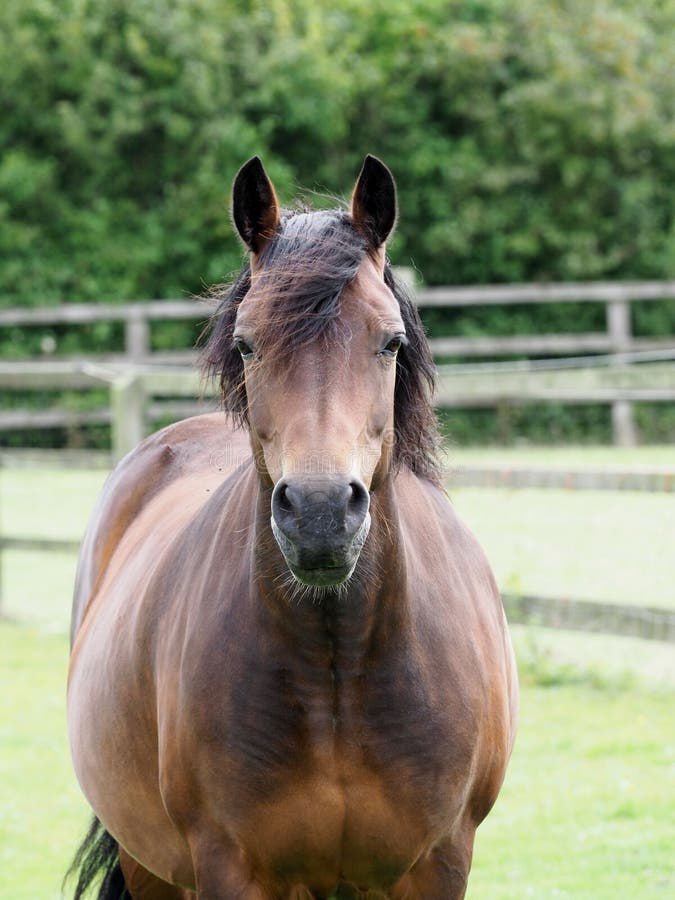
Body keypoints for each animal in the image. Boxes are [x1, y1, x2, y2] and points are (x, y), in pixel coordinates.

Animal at [66, 155, 518, 900]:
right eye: (246, 343)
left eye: (390, 341)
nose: (319, 514)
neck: (338, 673)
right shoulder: (229, 868)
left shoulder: (440, 864)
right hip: (148, 866)